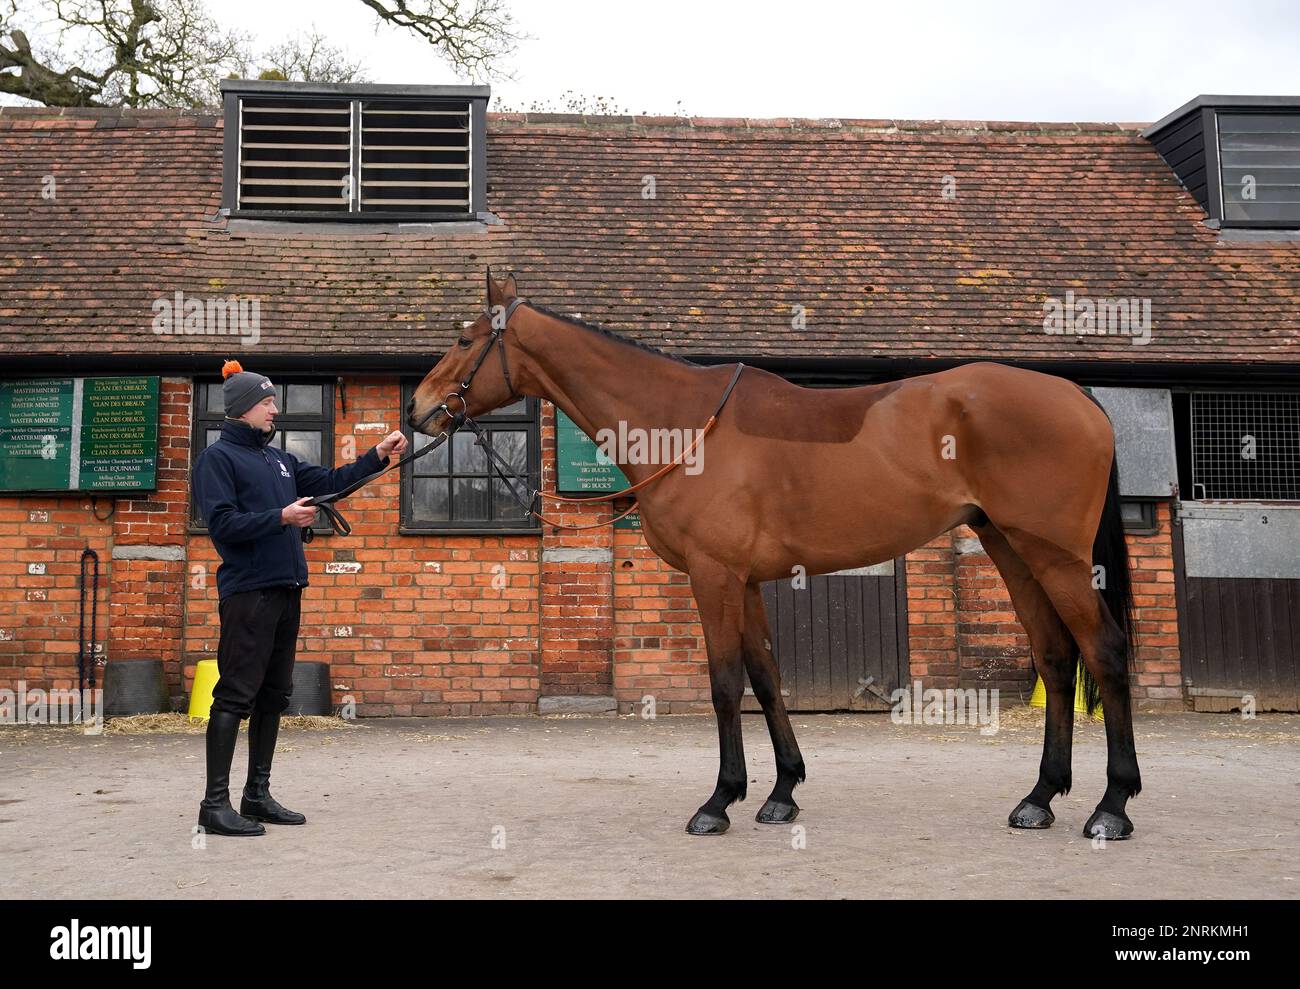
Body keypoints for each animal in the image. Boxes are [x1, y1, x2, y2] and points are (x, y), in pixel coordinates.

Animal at [407, 270, 1141, 841]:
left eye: (465, 340)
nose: (417, 410)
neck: (683, 424)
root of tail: (1078, 397)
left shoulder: (715, 575)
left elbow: (725, 682)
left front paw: (718, 801)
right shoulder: (747, 581)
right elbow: (765, 676)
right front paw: (781, 791)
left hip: (1055, 557)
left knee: (1103, 650)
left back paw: (1111, 806)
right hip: (1009, 547)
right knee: (1056, 654)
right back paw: (1039, 798)